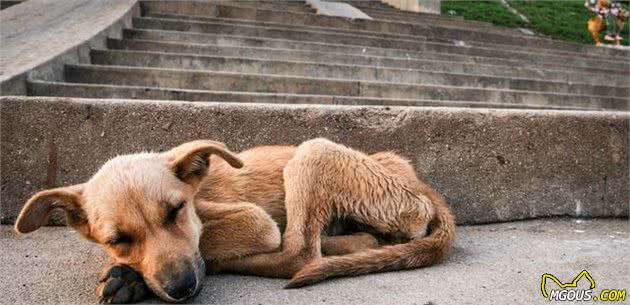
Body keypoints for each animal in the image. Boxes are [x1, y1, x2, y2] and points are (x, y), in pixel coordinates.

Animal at [12, 138, 456, 302]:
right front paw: (129, 273)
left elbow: (206, 242)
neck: (198, 194)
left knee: (298, 254)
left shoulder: (254, 221)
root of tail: (418, 182)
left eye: (176, 211)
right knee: (350, 242)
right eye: (118, 238)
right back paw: (349, 242)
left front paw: (131, 277)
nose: (181, 288)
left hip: (313, 151)